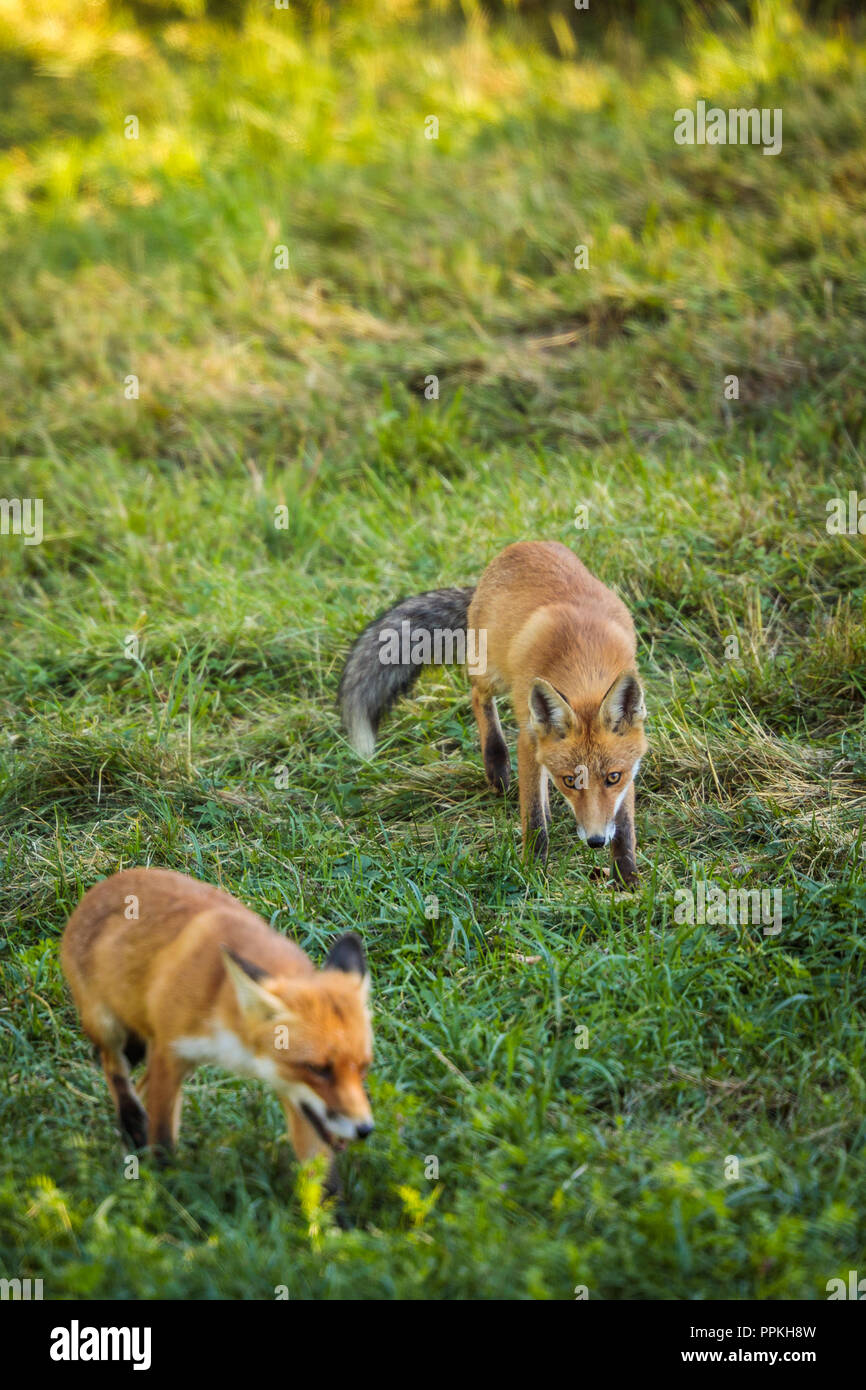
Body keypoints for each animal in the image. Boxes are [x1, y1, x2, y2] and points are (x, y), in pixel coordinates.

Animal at [60, 868, 373, 1186]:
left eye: (363, 1068)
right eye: (318, 1069)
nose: (365, 1129)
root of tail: (101, 887)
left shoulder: (294, 1091)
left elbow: (320, 1180)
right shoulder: (169, 1053)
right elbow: (163, 1139)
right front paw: (164, 1188)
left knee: (138, 1083)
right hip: (107, 1024)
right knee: (113, 1065)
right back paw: (131, 1120)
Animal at [338, 540, 648, 887]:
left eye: (613, 777)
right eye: (570, 780)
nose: (595, 841)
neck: (585, 662)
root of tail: (523, 545)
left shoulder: (628, 765)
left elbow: (624, 828)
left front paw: (627, 878)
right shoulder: (529, 737)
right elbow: (534, 820)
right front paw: (533, 870)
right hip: (493, 673)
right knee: (477, 696)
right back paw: (496, 765)